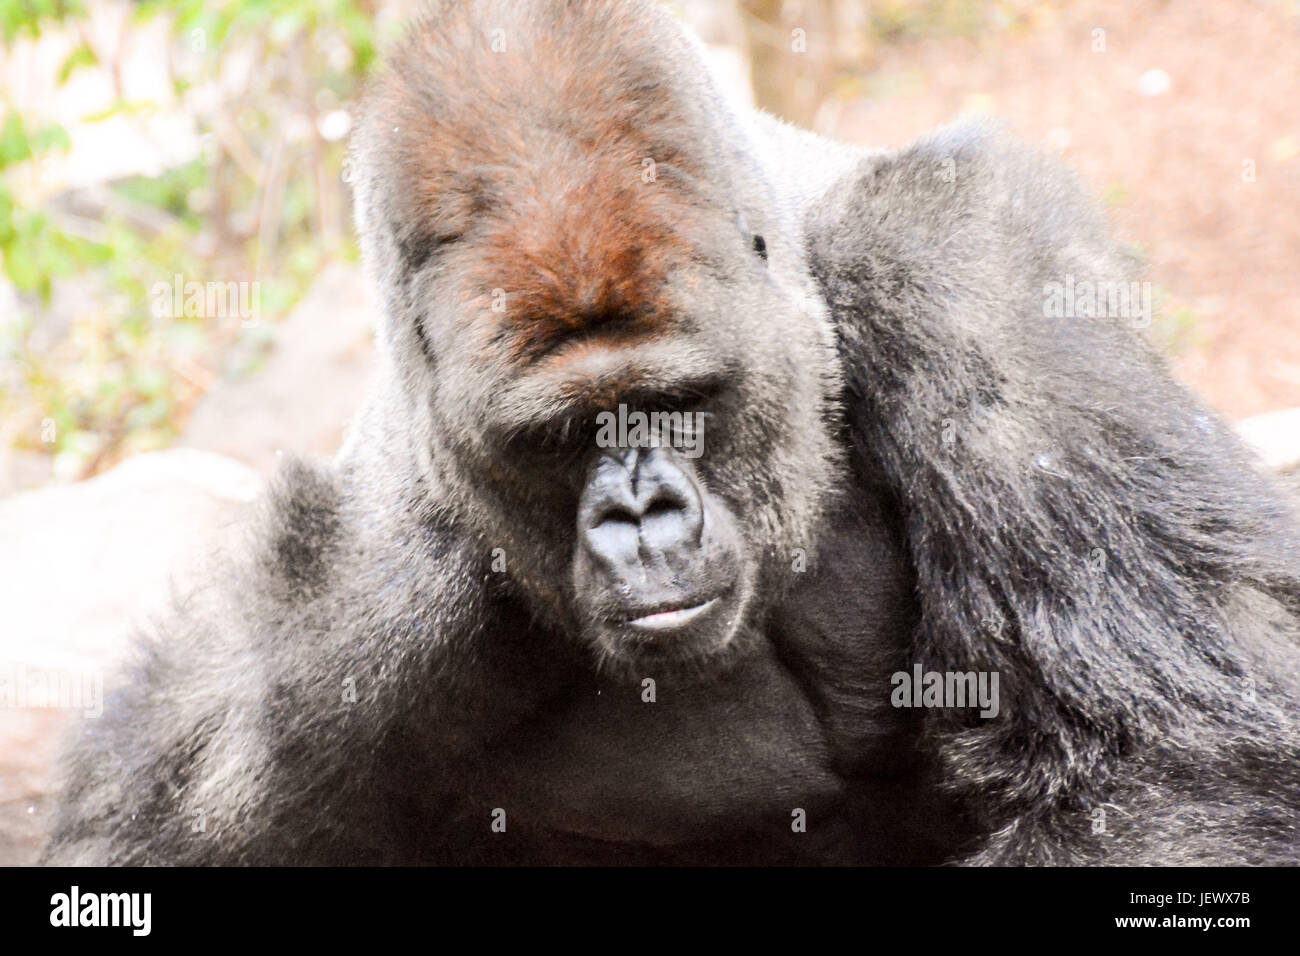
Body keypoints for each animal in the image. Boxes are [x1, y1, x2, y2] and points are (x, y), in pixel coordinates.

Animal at [42, 0, 1300, 866]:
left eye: (683, 401)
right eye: (560, 436)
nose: (642, 513)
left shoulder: (959, 273)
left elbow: (1167, 763)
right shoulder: (335, 615)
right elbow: (145, 821)